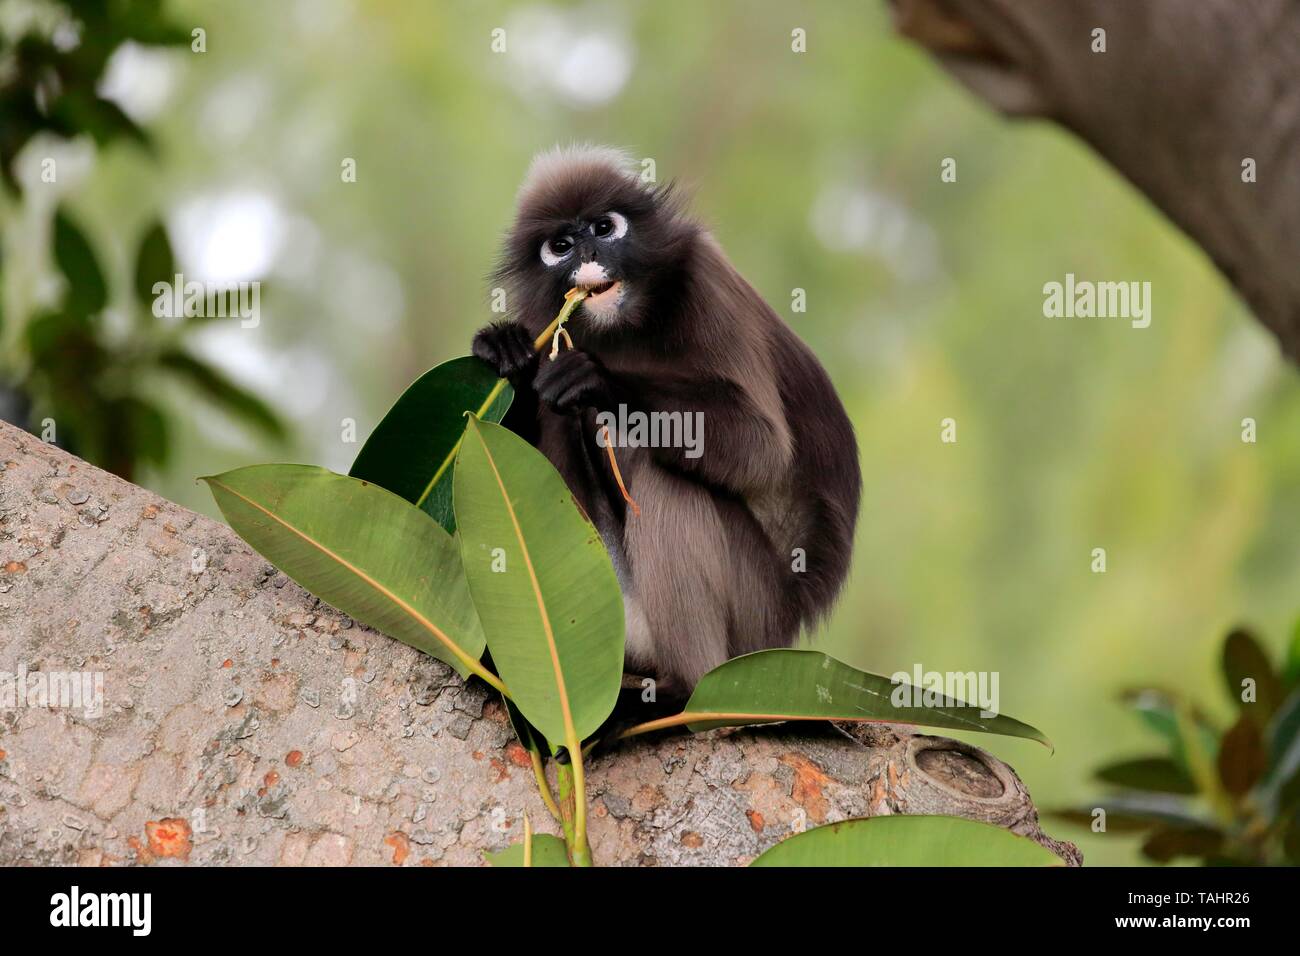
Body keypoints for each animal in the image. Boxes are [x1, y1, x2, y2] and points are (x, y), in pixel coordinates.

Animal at [473, 145, 861, 696]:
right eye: (561, 246)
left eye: (604, 227)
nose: (586, 254)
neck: (622, 323)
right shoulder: (544, 322)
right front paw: (508, 354)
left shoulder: (707, 278)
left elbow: (762, 446)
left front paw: (596, 380)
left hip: (755, 619)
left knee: (669, 479)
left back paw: (685, 687)